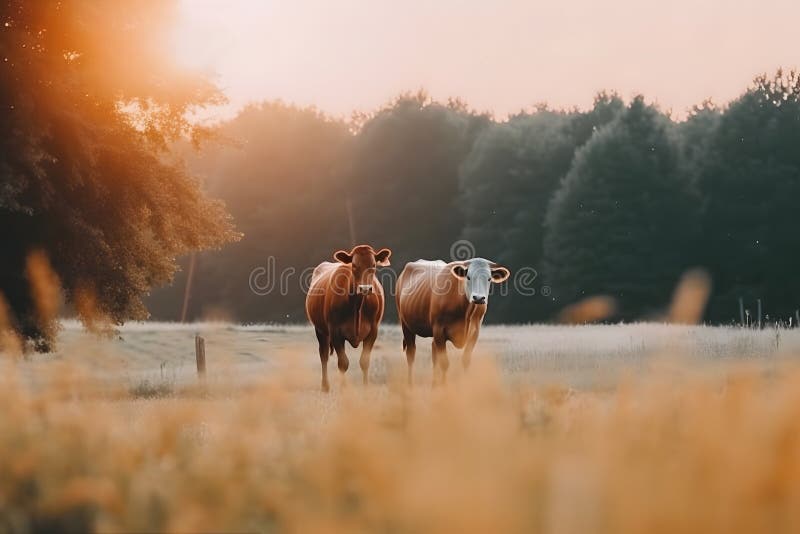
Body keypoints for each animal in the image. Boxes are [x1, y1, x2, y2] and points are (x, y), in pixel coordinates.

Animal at [306, 245, 392, 392]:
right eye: (354, 265)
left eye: (373, 265)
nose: (365, 289)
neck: (358, 305)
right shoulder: (335, 332)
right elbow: (343, 363)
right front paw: (344, 388)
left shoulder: (373, 331)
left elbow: (364, 361)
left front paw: (366, 387)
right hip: (320, 330)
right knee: (324, 355)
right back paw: (325, 386)